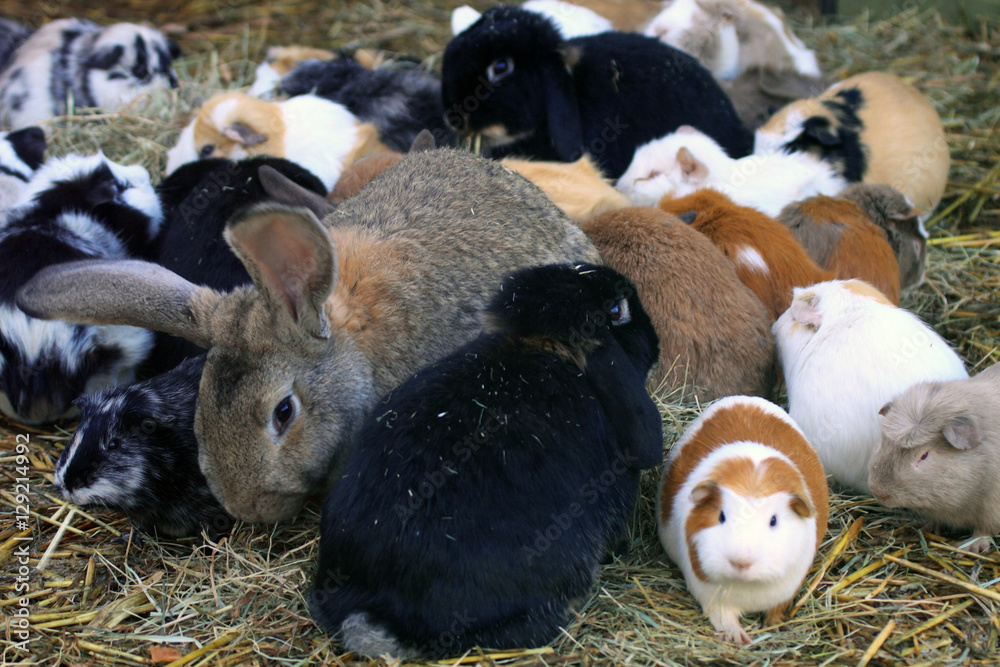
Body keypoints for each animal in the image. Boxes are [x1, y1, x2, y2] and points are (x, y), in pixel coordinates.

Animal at [658, 395, 828, 644]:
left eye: (774, 520)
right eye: (721, 515)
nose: (741, 562)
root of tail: (743, 399)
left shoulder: (786, 591)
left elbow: (776, 610)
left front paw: (773, 626)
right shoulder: (711, 596)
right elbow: (725, 620)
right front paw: (741, 639)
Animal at [870, 362, 1000, 554]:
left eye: (924, 455)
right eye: (883, 442)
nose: (880, 493)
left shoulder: (991, 508)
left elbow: (983, 530)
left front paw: (966, 547)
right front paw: (923, 526)